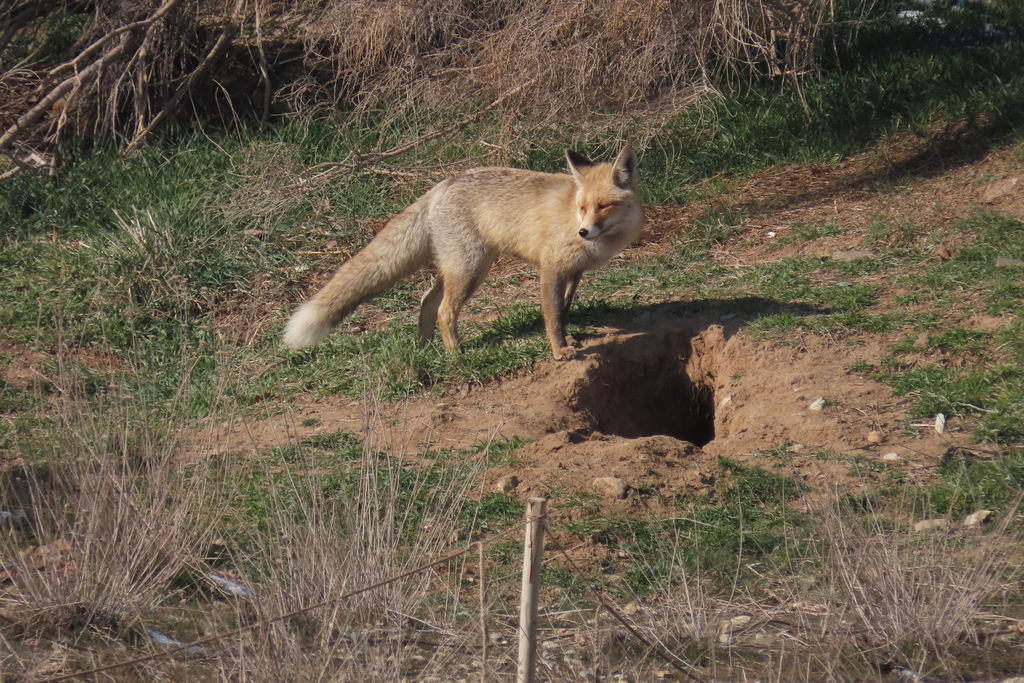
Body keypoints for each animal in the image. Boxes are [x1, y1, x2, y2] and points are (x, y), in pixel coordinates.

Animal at [283, 146, 643, 360]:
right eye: (583, 207)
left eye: (603, 206)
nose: (583, 232)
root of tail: (443, 184)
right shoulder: (550, 268)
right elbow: (552, 317)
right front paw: (559, 351)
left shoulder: (573, 273)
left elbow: (564, 312)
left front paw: (571, 342)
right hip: (472, 269)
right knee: (444, 310)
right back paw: (456, 354)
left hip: (458, 267)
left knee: (427, 301)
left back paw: (426, 348)